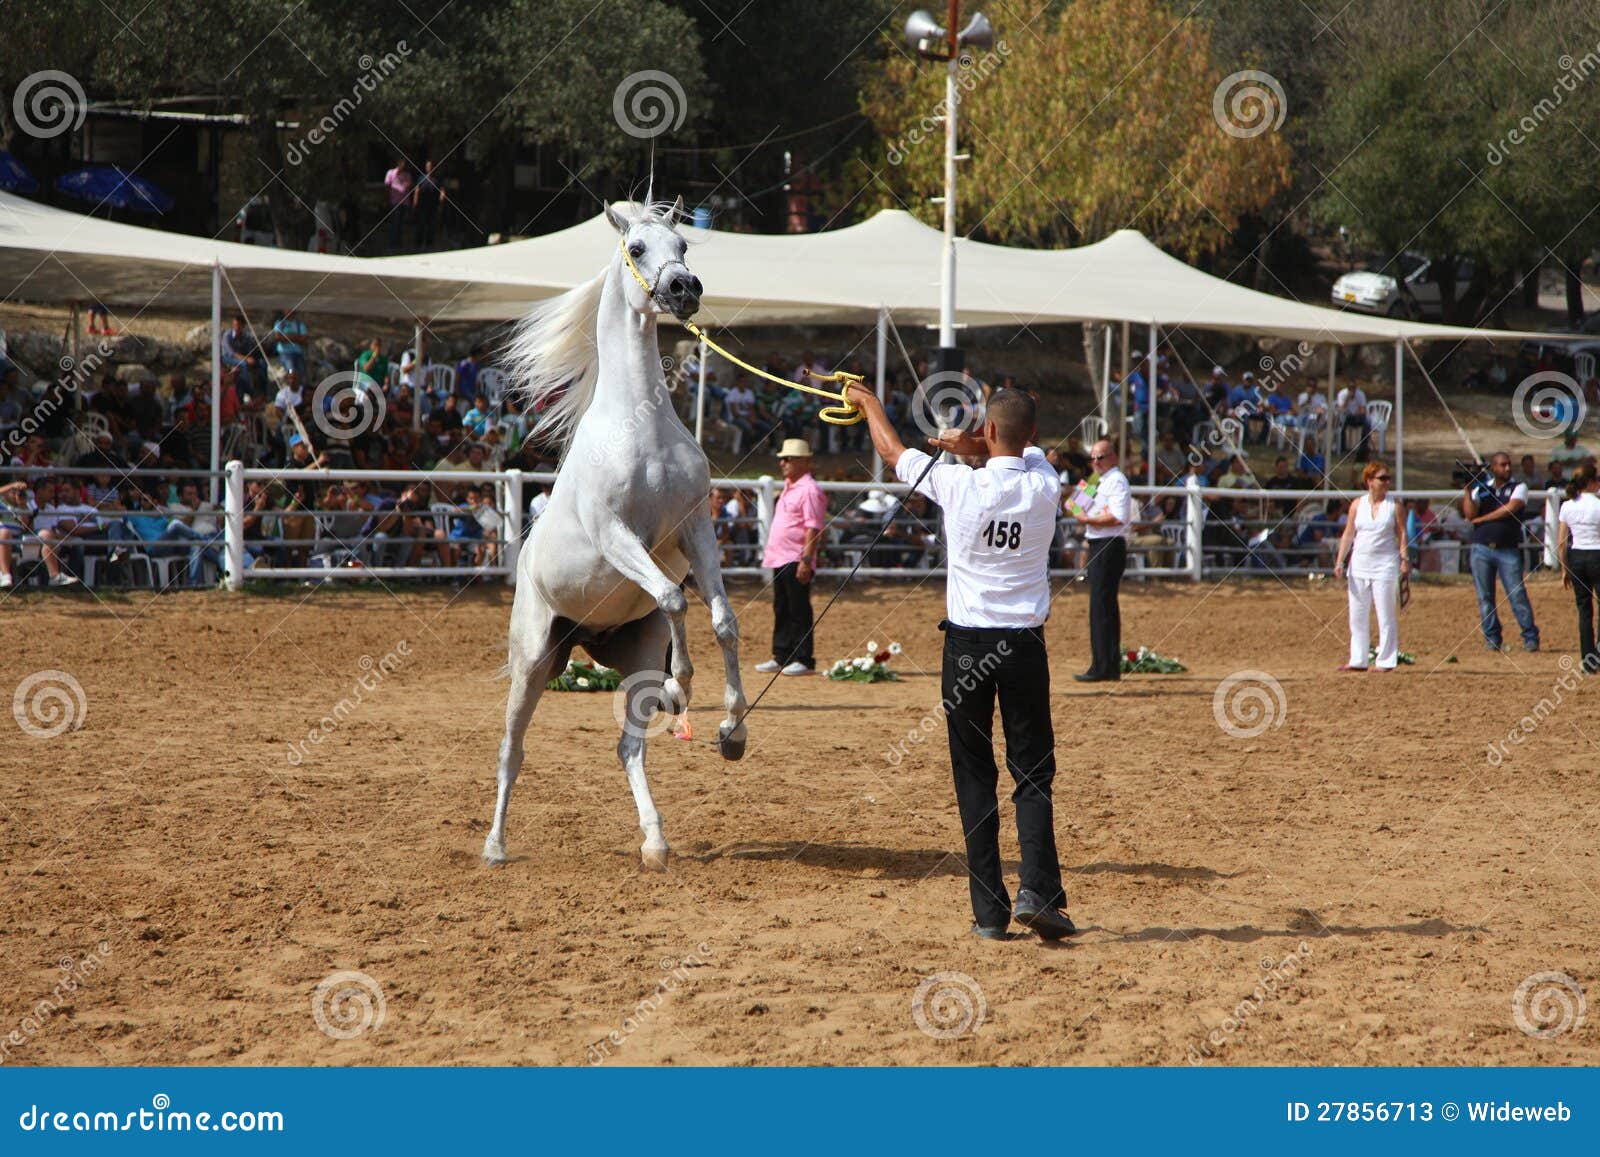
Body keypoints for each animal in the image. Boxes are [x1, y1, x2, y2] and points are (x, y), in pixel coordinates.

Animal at [482, 197, 748, 871]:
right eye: (637, 250)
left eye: (684, 246)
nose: (684, 289)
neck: (640, 424)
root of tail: (586, 637)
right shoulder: (617, 536)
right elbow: (676, 599)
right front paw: (683, 688)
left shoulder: (696, 528)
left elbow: (722, 620)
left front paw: (732, 731)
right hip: (532, 661)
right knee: (511, 749)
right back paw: (494, 847)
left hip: (633, 654)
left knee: (629, 748)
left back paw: (655, 841)